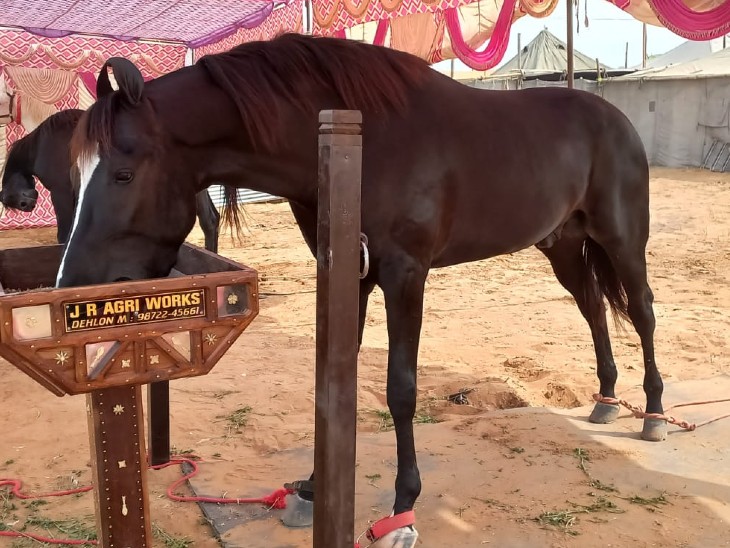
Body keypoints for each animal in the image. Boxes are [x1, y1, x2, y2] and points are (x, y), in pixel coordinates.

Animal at [0, 108, 222, 252]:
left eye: (12, 199)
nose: (27, 205)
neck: (39, 146)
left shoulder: (60, 192)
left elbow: (63, 233)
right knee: (209, 220)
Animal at [56, 33, 666, 544]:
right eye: (75, 173)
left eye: (124, 174)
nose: (73, 289)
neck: (369, 141)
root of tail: (613, 116)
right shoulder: (352, 274)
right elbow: (334, 381)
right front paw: (310, 487)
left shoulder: (404, 274)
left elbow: (401, 389)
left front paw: (403, 507)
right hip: (562, 244)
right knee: (593, 310)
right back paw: (606, 399)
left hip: (622, 238)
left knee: (641, 313)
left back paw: (654, 414)